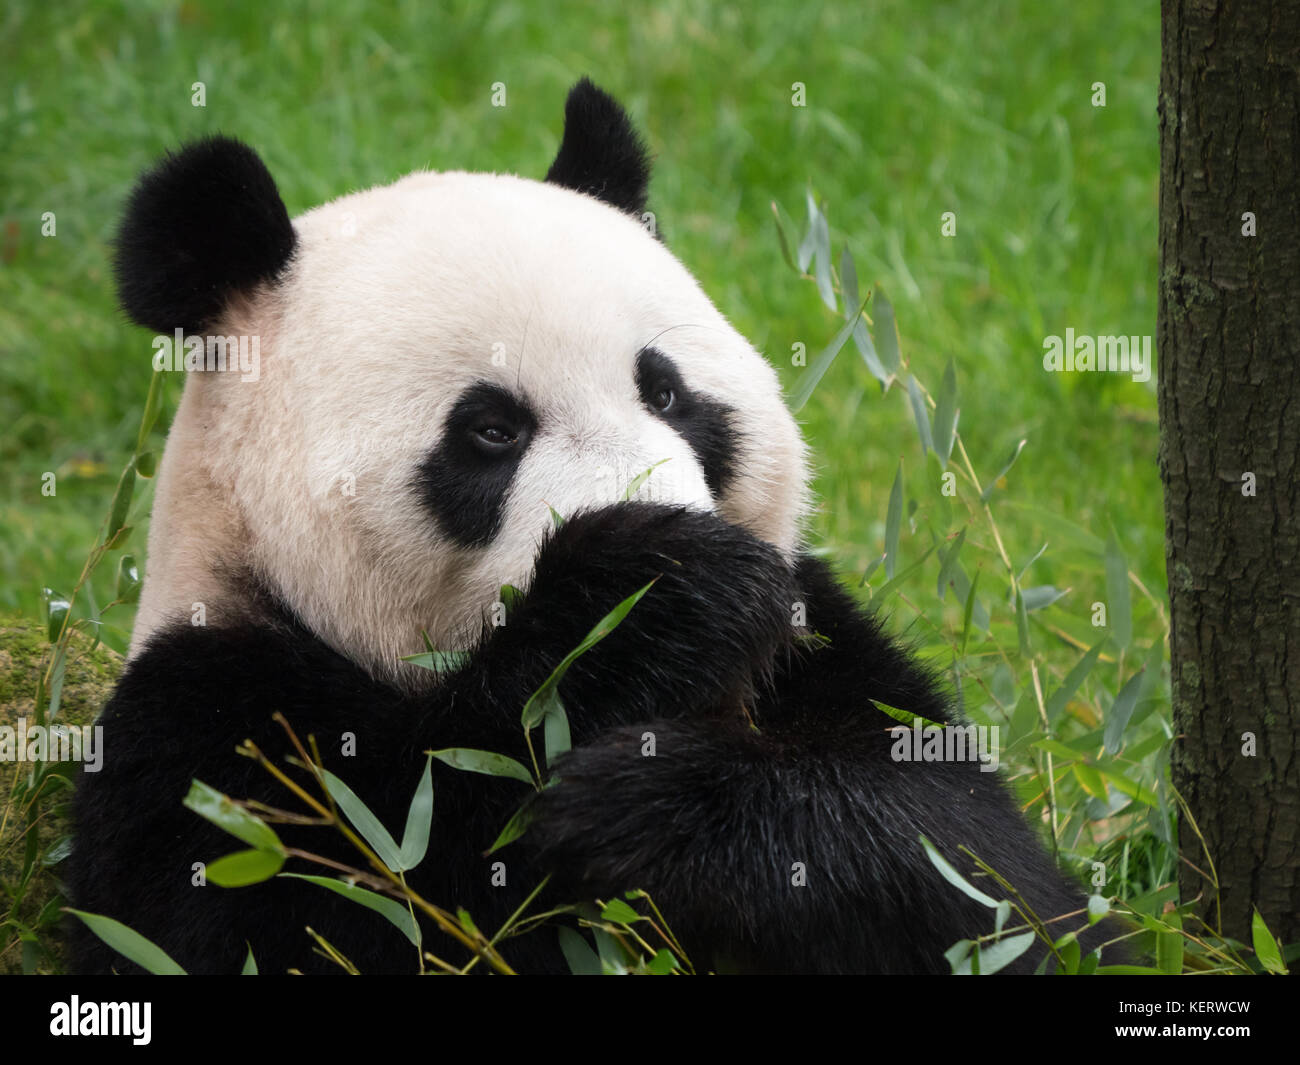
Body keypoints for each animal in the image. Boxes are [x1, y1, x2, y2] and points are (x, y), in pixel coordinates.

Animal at [70, 78, 1106, 975]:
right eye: (492, 429)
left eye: (668, 392)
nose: (662, 507)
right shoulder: (206, 715)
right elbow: (321, 900)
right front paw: (652, 590)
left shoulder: (823, 641)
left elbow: (982, 871)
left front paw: (660, 803)